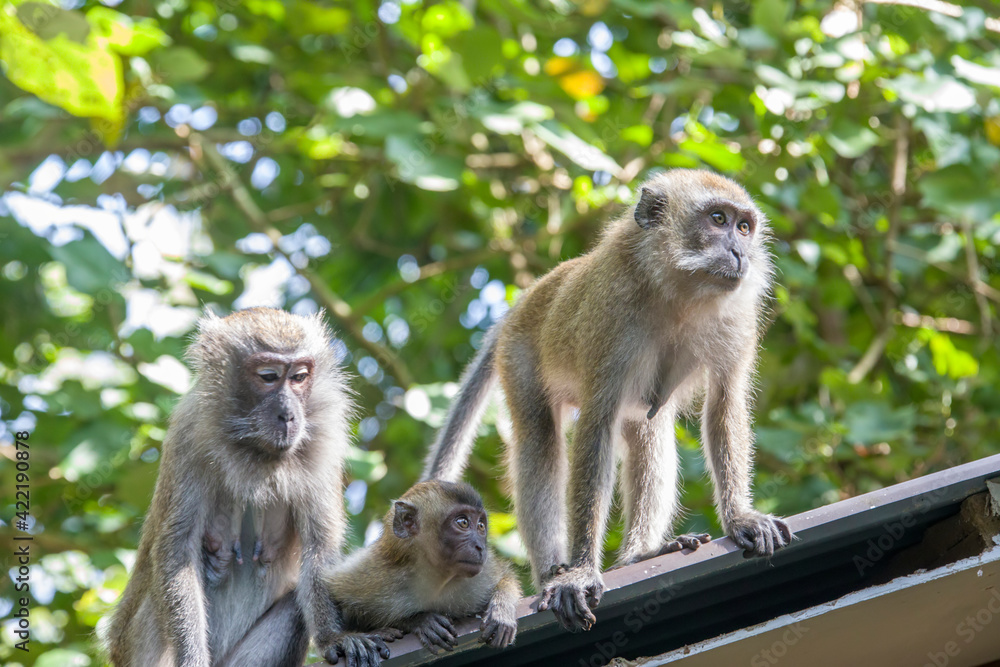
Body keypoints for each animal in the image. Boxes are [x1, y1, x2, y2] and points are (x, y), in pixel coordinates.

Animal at [106, 307, 391, 666]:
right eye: (268, 376)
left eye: (299, 376)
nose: (288, 415)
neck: (255, 450)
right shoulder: (189, 435)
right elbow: (176, 550)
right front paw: (192, 657)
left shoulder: (323, 444)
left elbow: (320, 547)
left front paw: (333, 638)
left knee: (295, 606)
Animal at [321, 480, 521, 666]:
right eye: (463, 522)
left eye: (480, 526)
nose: (480, 547)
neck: (435, 575)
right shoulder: (372, 574)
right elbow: (330, 592)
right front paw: (419, 620)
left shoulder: (480, 576)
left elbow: (504, 576)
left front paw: (502, 611)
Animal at [421, 169, 793, 632]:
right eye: (718, 219)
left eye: (744, 227)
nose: (740, 251)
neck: (677, 290)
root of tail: (525, 300)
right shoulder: (611, 316)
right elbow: (597, 424)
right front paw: (580, 572)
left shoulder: (737, 319)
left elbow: (723, 404)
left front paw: (741, 517)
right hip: (519, 354)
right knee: (540, 442)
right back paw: (552, 570)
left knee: (648, 429)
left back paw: (641, 553)